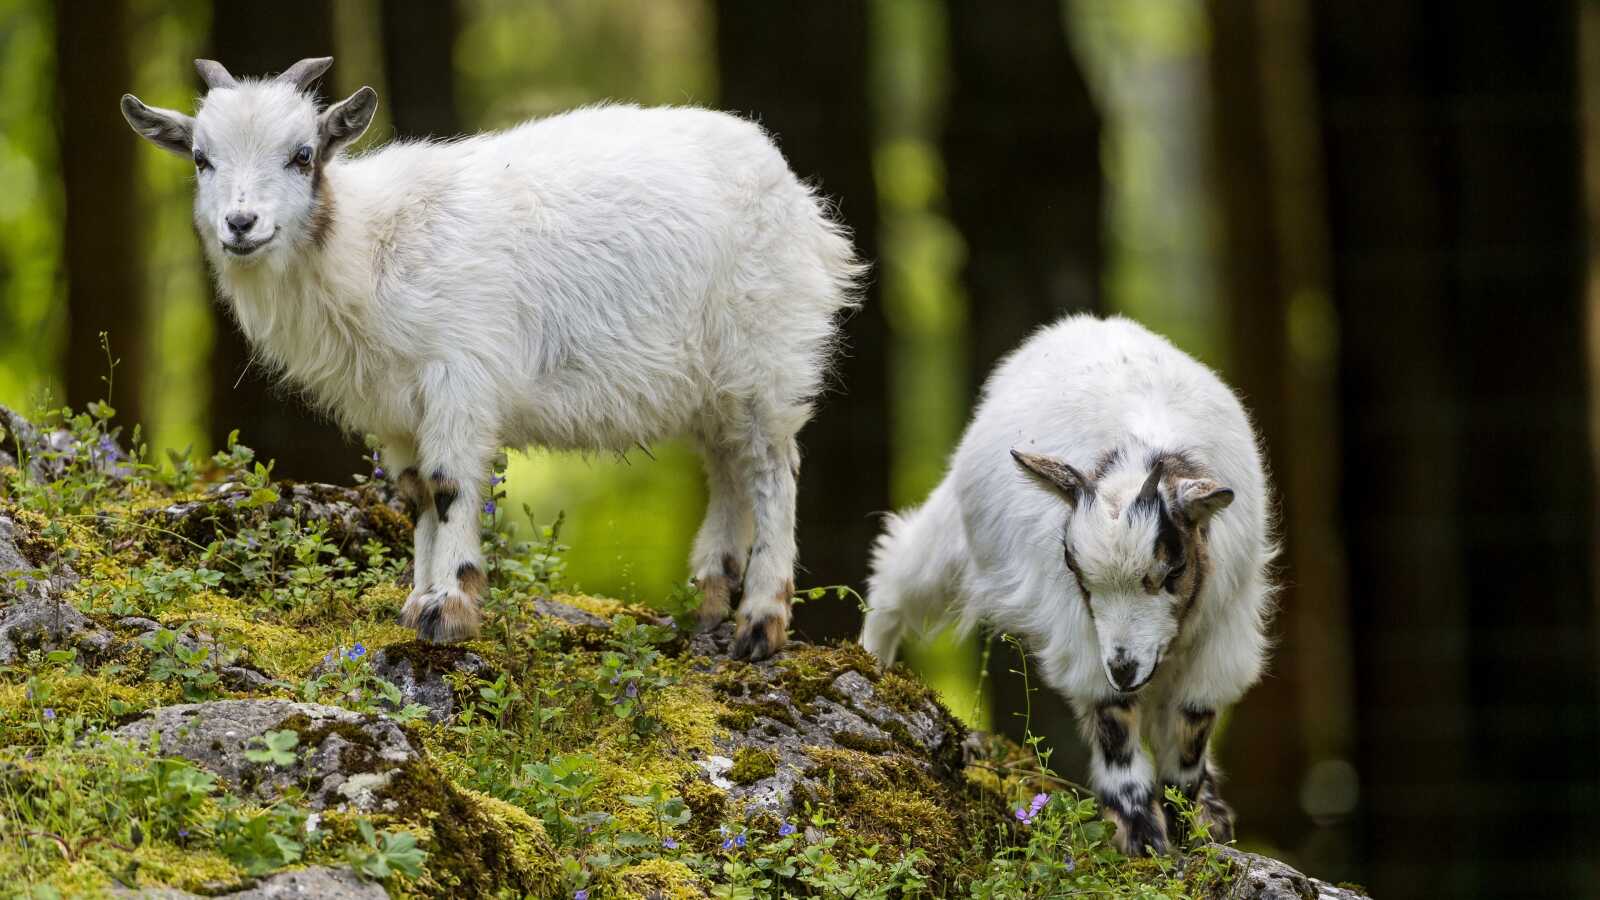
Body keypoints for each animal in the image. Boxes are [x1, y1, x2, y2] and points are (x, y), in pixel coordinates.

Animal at [121, 58, 861, 659]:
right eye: (200, 159)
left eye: (303, 155)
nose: (241, 225)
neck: (369, 244)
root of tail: (796, 195)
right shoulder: (396, 408)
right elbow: (416, 493)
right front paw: (416, 601)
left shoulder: (460, 374)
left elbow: (450, 485)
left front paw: (449, 609)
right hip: (712, 385)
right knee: (729, 469)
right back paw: (706, 602)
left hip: (767, 358)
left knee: (771, 470)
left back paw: (760, 624)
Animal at [860, 314, 1275, 855]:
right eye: (1077, 570)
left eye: (1171, 571)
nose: (1124, 668)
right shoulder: (1078, 627)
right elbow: (1113, 719)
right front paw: (1141, 833)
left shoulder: (1224, 628)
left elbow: (1191, 727)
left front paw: (1195, 823)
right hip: (954, 537)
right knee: (897, 572)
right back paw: (871, 661)